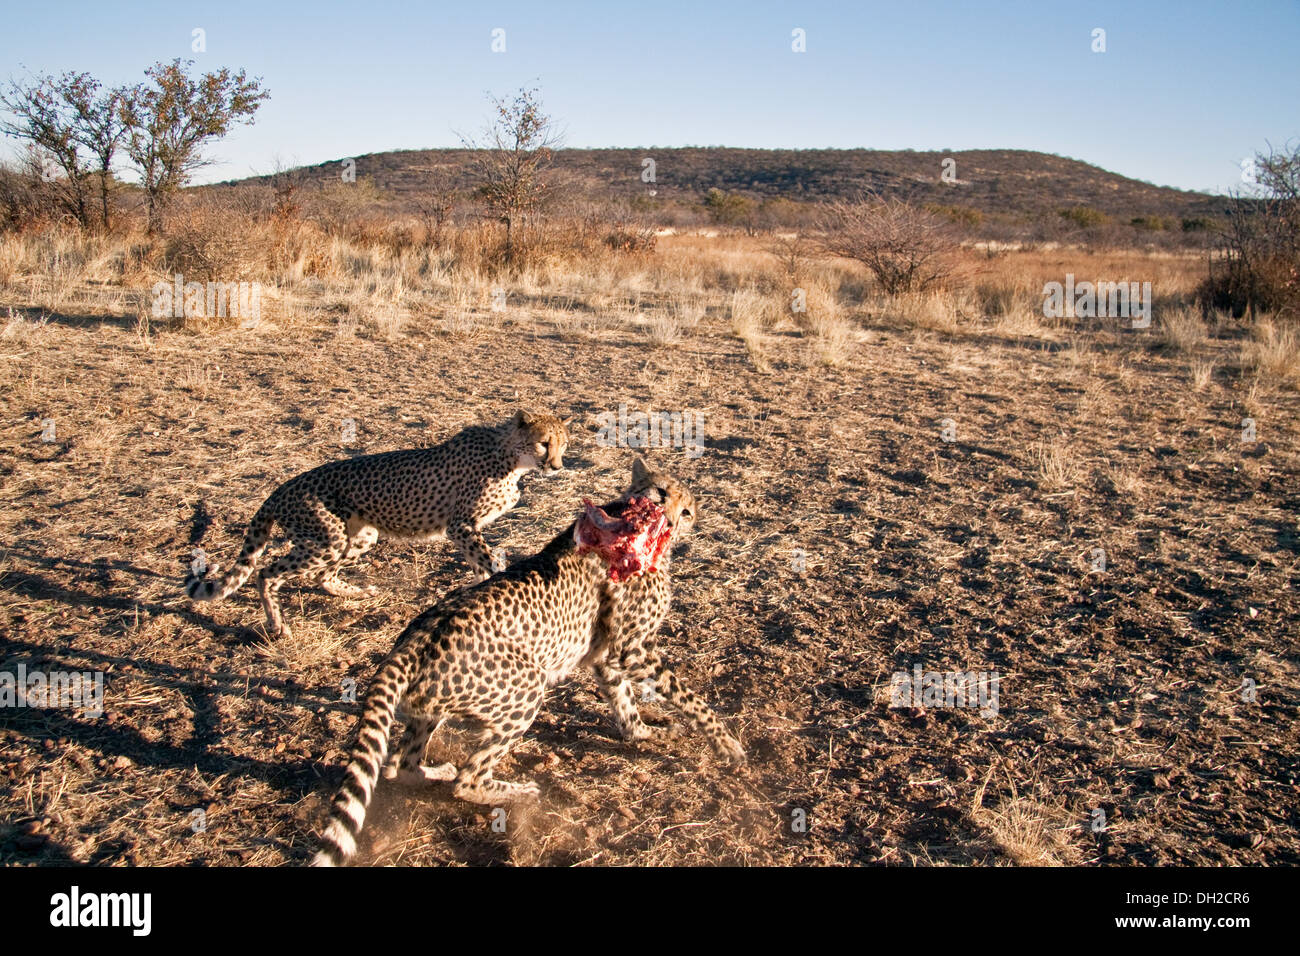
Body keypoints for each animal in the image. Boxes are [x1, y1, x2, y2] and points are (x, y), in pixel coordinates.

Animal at [185, 409, 571, 639]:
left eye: (563, 444)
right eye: (543, 443)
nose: (557, 466)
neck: (510, 457)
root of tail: (282, 487)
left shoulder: (466, 530)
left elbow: (480, 568)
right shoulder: (461, 526)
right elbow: (490, 564)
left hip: (359, 536)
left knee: (321, 576)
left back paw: (352, 592)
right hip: (327, 539)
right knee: (267, 572)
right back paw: (278, 626)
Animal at [310, 458, 744, 866]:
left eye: (686, 512)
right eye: (660, 492)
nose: (668, 516)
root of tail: (412, 637)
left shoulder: (607, 655)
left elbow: (624, 703)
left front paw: (645, 734)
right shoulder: (631, 649)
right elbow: (689, 697)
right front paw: (727, 744)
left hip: (431, 706)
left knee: (402, 764)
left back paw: (436, 771)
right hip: (525, 689)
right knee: (468, 777)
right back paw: (518, 792)